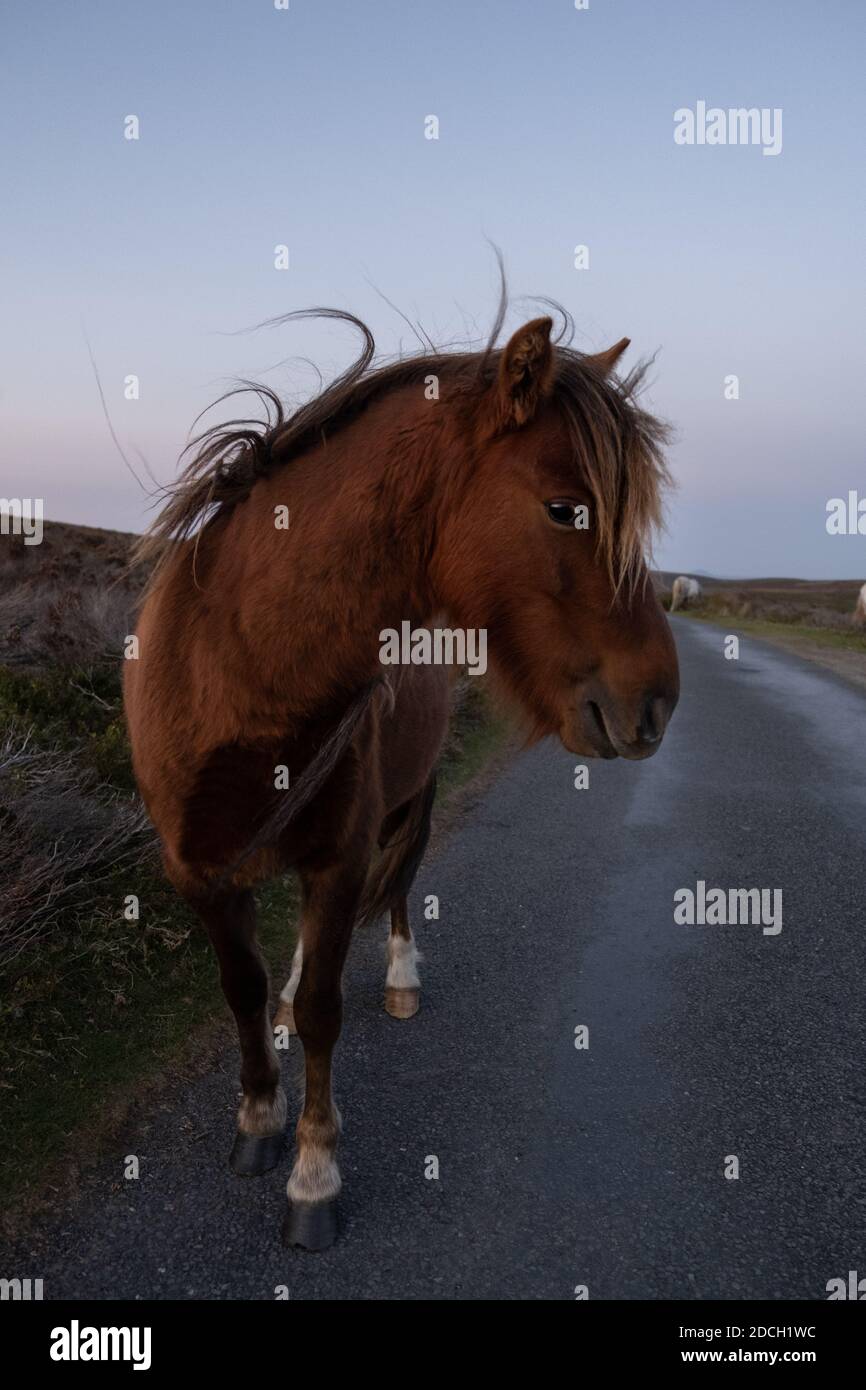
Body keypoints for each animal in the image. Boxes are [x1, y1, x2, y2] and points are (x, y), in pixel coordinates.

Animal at [124, 295, 680, 1250]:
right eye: (565, 509)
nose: (657, 703)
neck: (235, 674)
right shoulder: (199, 871)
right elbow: (243, 990)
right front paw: (259, 1117)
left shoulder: (342, 855)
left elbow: (323, 1013)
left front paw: (315, 1174)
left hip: (409, 806)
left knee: (400, 891)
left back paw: (400, 977)